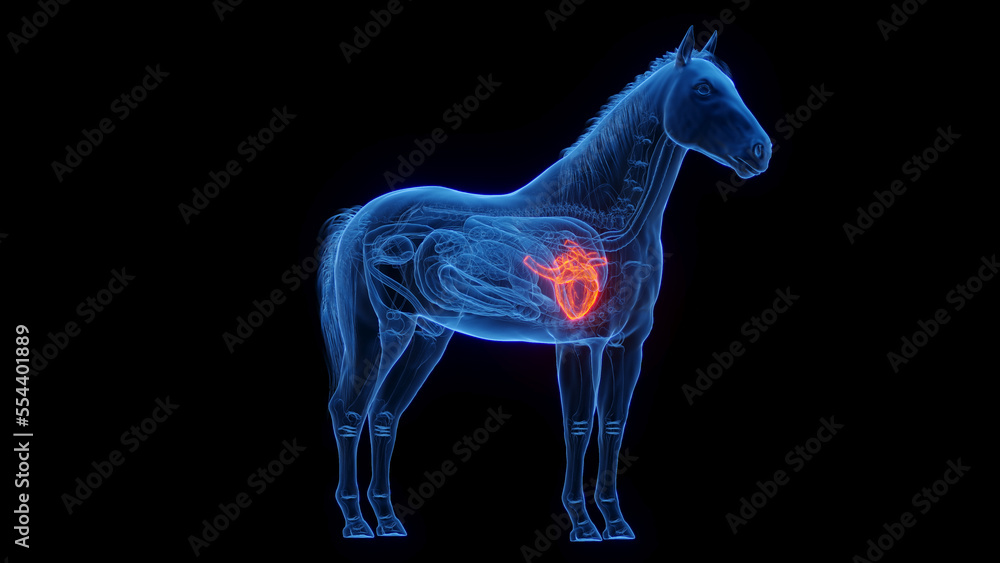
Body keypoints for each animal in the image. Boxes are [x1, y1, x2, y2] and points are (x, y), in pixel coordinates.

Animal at [318, 26, 771, 541]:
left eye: (732, 85)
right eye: (703, 89)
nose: (761, 151)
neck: (603, 223)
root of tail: (358, 221)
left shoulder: (626, 345)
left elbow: (612, 425)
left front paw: (615, 523)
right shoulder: (579, 342)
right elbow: (578, 424)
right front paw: (584, 524)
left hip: (427, 335)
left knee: (384, 415)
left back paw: (388, 521)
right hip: (382, 330)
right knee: (349, 411)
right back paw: (356, 523)